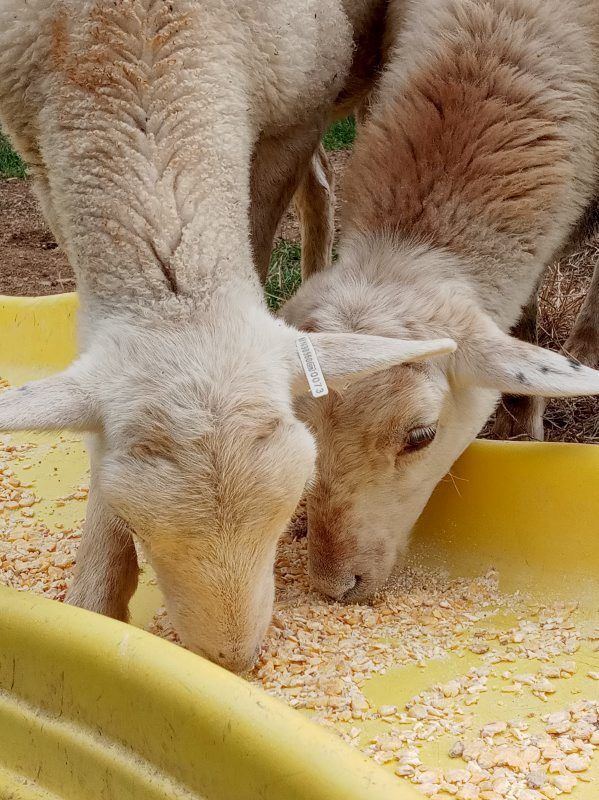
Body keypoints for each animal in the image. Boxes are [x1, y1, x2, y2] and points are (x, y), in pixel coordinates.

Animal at [0, 0, 432, 672]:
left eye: (294, 507)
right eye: (138, 526)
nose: (233, 660)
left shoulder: (290, 118)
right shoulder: (37, 146)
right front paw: (93, 597)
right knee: (321, 183)